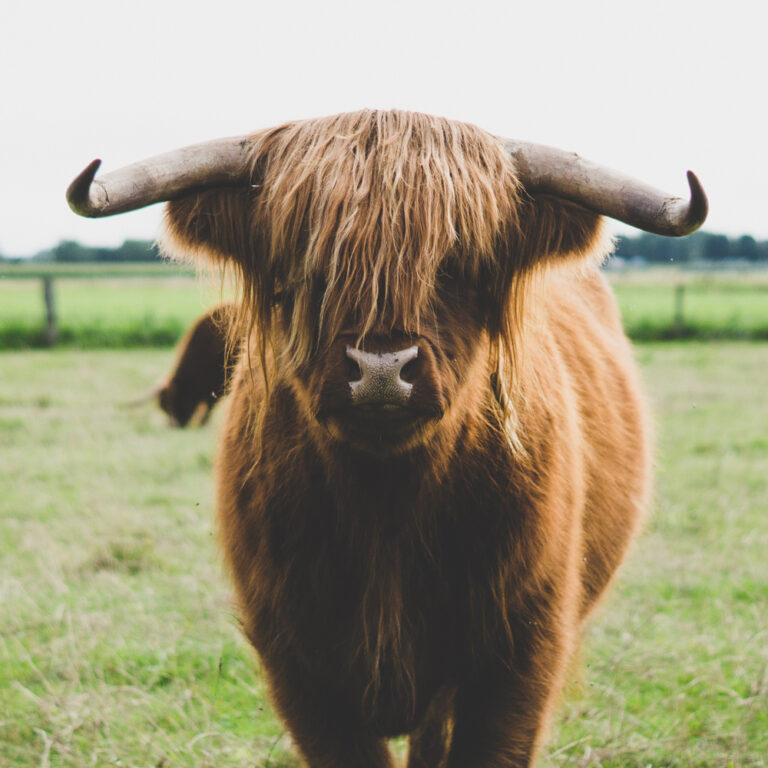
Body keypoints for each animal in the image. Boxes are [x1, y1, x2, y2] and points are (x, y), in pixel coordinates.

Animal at [68, 109, 707, 767]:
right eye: (308, 263)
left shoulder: (520, 654)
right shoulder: (298, 663)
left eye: (457, 261)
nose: (380, 367)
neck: (388, 505)